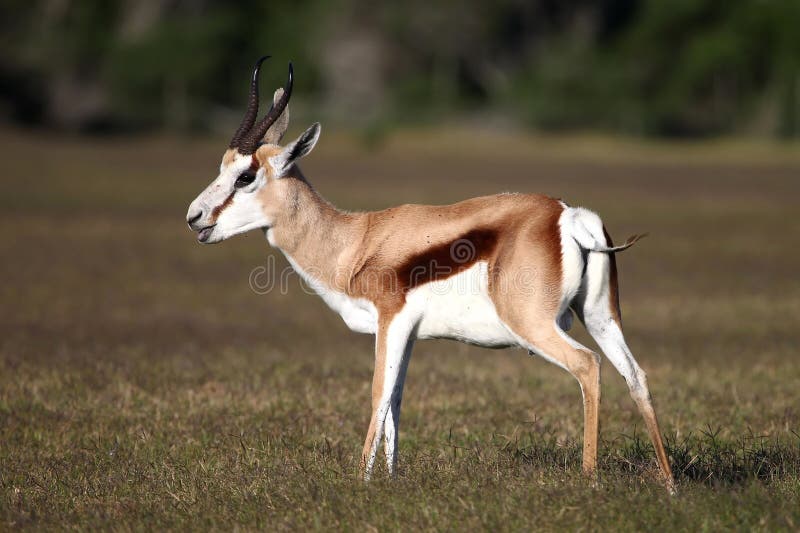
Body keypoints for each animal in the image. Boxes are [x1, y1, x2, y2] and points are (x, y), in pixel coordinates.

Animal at [186, 56, 676, 493]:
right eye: (222, 167)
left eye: (246, 176)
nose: (194, 217)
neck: (355, 241)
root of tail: (567, 215)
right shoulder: (408, 332)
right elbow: (396, 401)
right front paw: (390, 480)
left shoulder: (390, 321)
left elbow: (378, 394)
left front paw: (360, 483)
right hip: (601, 317)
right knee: (636, 376)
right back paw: (670, 486)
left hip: (534, 325)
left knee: (587, 366)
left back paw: (589, 481)